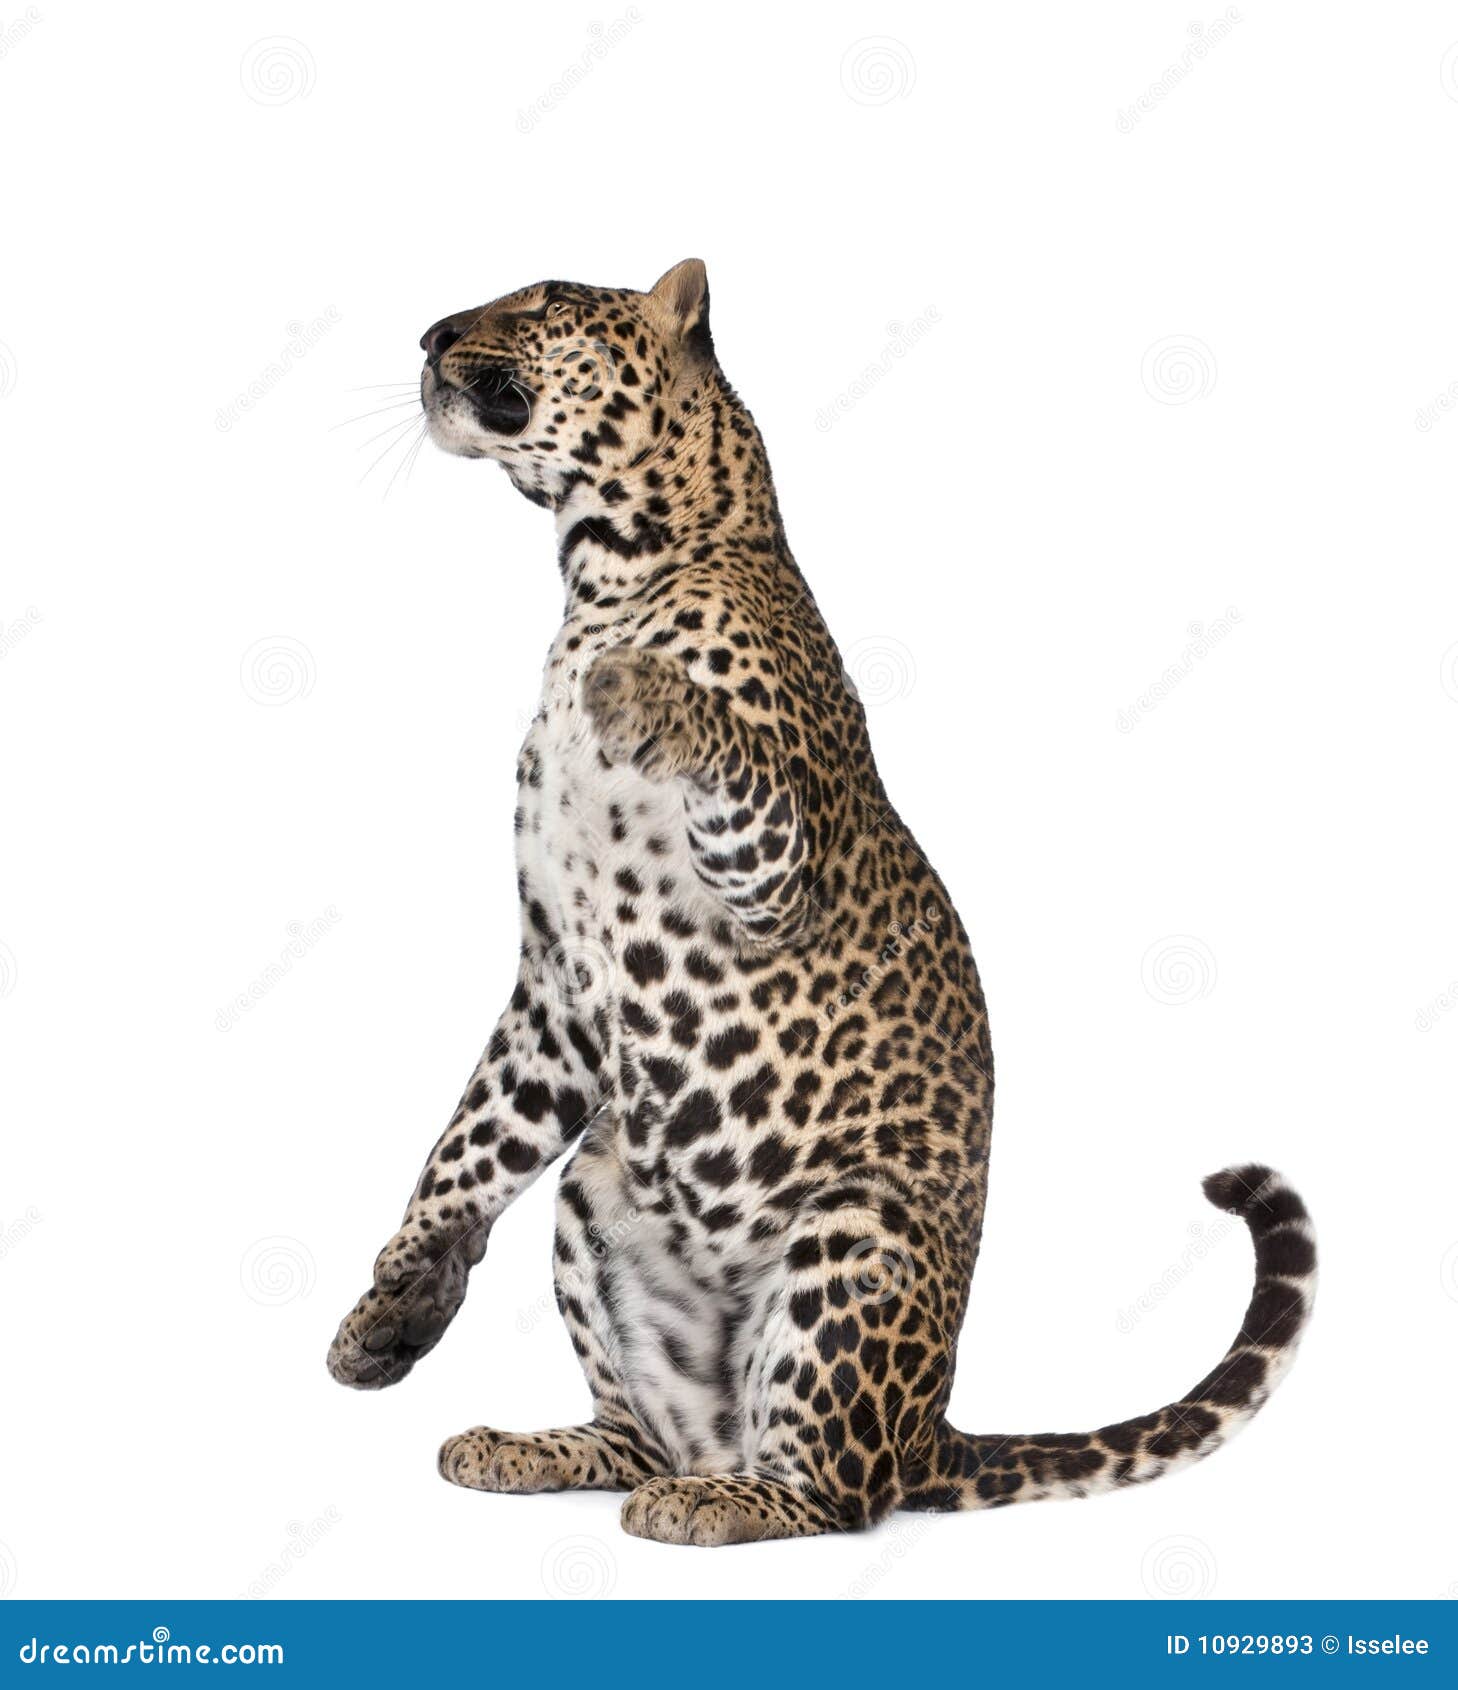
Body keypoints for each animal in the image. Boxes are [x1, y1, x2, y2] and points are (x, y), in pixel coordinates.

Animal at [326, 260, 1317, 1546]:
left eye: (540, 298)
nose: (431, 333)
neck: (601, 573)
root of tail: (926, 1428)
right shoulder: (557, 983)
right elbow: (467, 1143)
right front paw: (393, 1304)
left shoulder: (773, 872)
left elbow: (724, 744)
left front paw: (644, 691)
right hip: (596, 1191)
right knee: (640, 1432)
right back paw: (534, 1447)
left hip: (854, 1230)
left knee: (836, 1496)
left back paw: (720, 1500)